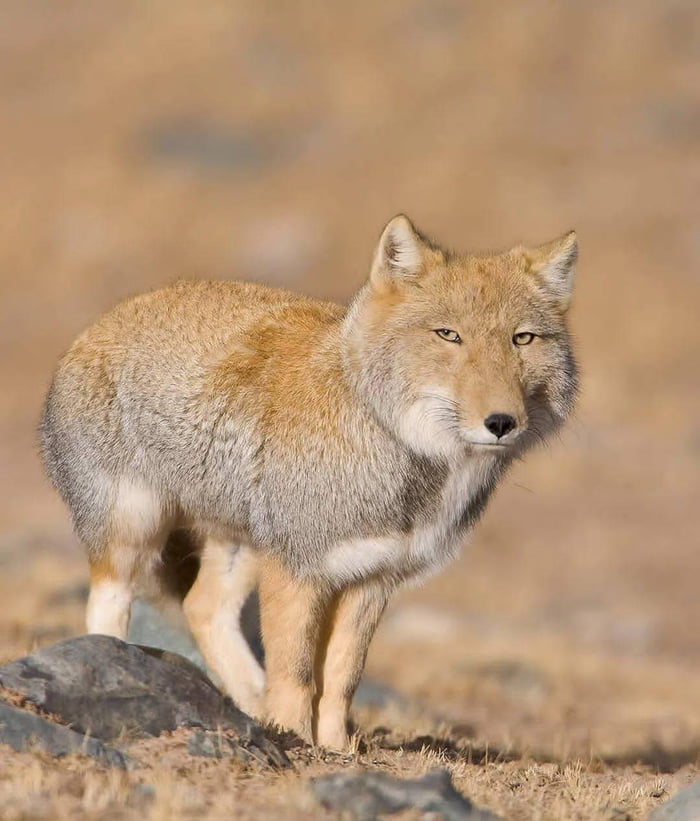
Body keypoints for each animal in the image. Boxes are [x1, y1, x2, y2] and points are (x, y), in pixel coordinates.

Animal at [40, 214, 578, 750]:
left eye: (523, 339)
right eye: (449, 335)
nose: (501, 422)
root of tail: (103, 321)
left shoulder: (371, 579)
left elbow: (341, 678)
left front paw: (336, 748)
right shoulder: (297, 569)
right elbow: (296, 673)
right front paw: (295, 739)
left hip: (240, 548)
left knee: (203, 608)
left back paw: (252, 704)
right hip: (132, 533)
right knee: (108, 607)